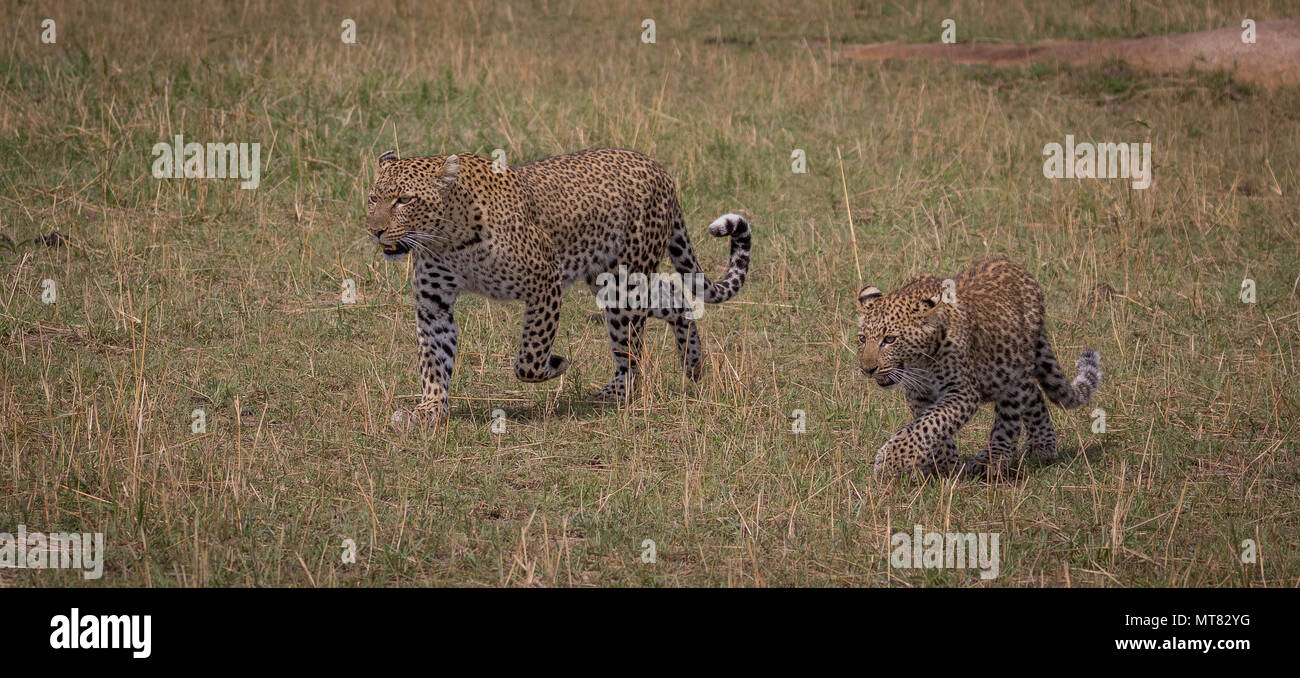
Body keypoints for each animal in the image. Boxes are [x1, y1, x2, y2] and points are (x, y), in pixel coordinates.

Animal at [366, 147, 752, 427]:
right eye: (372, 198)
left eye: (404, 200)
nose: (375, 230)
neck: (447, 238)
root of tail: (661, 170)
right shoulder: (434, 304)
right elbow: (434, 360)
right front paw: (430, 410)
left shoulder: (544, 280)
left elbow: (529, 356)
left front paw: (557, 364)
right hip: (608, 282)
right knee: (675, 300)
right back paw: (693, 365)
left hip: (626, 283)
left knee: (632, 345)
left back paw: (621, 393)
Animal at [854, 258, 1100, 480]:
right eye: (862, 338)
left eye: (890, 339)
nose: (868, 369)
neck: (920, 362)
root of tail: (1020, 269)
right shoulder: (919, 394)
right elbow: (932, 427)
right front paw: (947, 465)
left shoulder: (963, 392)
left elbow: (929, 424)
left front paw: (890, 460)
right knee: (1033, 393)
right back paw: (1040, 448)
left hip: (1013, 374)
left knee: (1010, 417)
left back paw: (995, 459)